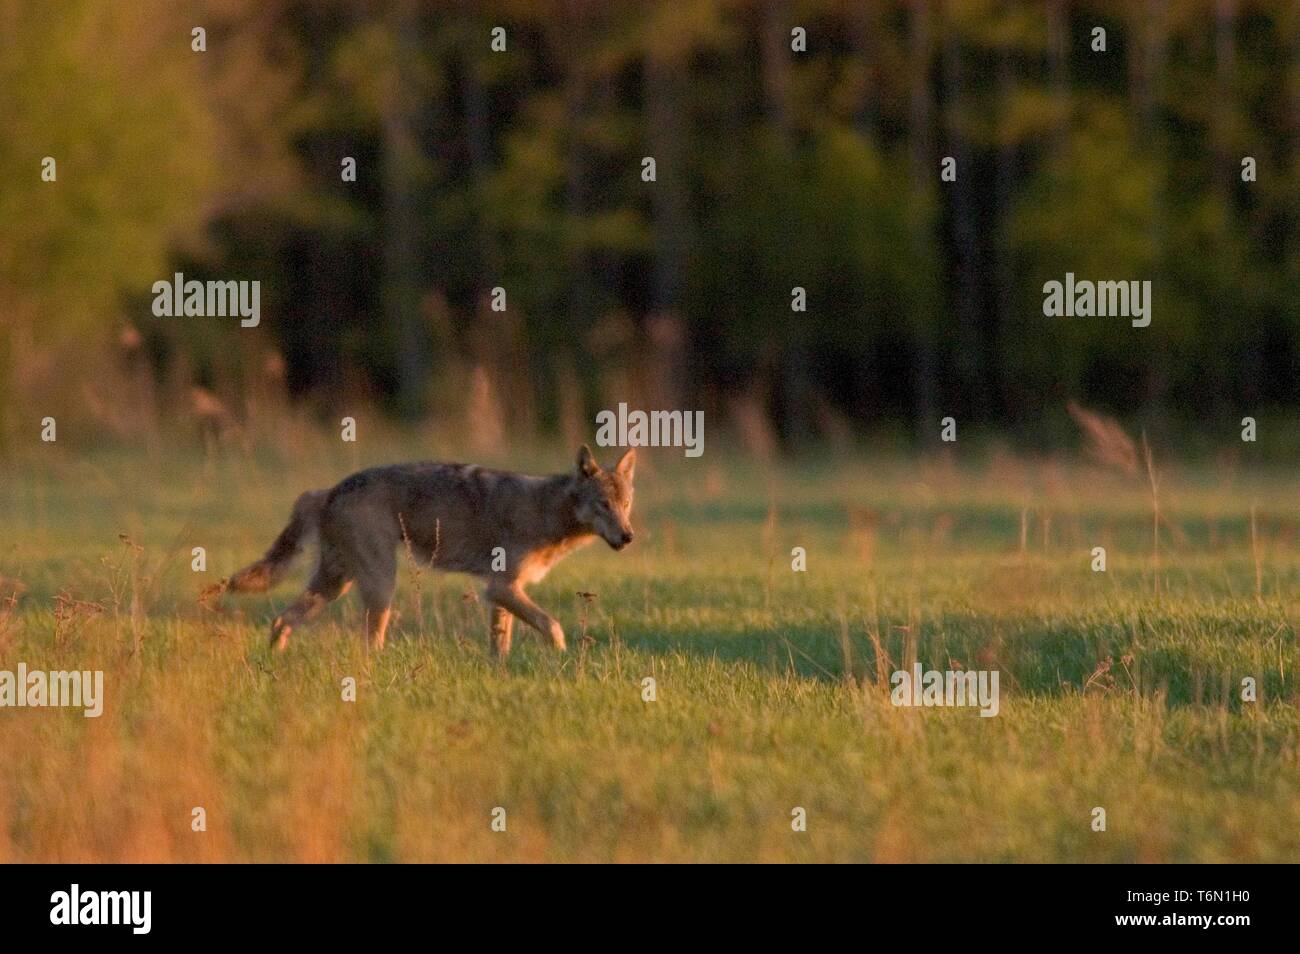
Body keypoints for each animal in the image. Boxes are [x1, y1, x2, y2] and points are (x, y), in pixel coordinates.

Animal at [204, 447, 639, 657]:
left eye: (625, 504)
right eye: (602, 505)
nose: (629, 536)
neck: (549, 510)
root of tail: (327, 490)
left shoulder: (500, 594)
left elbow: (500, 645)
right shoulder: (500, 588)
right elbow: (554, 626)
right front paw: (562, 659)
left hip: (335, 585)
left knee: (282, 621)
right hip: (381, 586)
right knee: (368, 643)